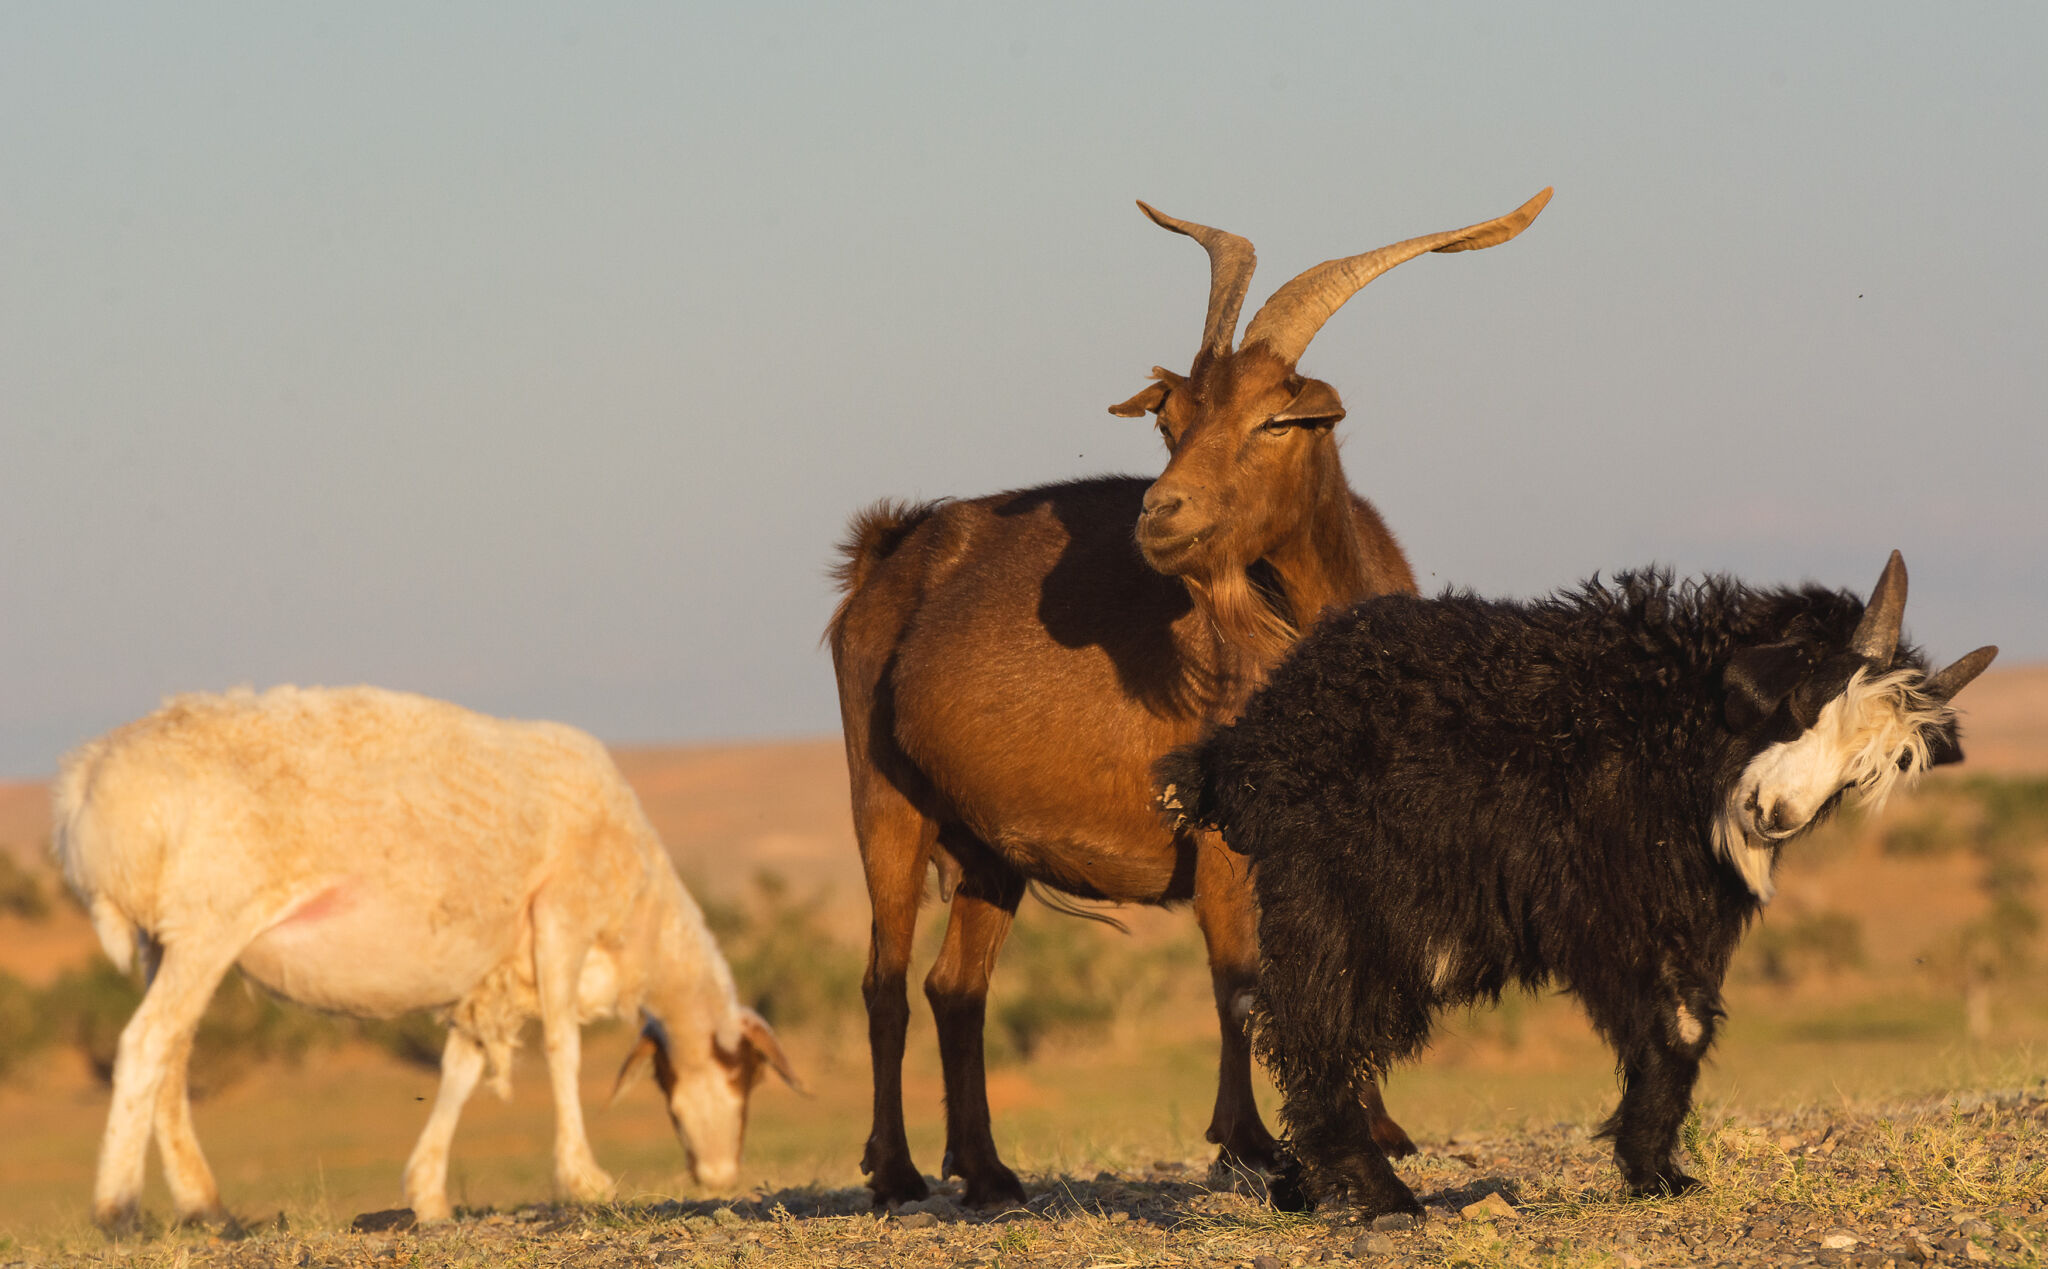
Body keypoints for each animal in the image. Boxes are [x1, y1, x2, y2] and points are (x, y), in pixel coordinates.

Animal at [52, 685, 800, 1229]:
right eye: (745, 1076)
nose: (719, 1175)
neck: (642, 920)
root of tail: (88, 784)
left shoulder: (492, 973)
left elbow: (459, 1071)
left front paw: (429, 1194)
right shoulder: (563, 913)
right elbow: (563, 1045)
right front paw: (585, 1178)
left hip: (167, 937)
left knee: (173, 1057)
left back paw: (205, 1206)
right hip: (211, 920)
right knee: (147, 1043)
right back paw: (117, 1210)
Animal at [827, 188, 1551, 1206]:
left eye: (1275, 421)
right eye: (1169, 421)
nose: (1161, 516)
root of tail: (887, 555)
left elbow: (1336, 972)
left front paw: (1375, 1130)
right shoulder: (1221, 834)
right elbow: (1240, 979)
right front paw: (1256, 1145)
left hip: (986, 847)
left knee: (954, 987)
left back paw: (989, 1171)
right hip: (885, 800)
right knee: (884, 981)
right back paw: (895, 1172)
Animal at [1156, 552, 1996, 1215]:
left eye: (1861, 774)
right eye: (1805, 699)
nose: (1775, 814)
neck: (1669, 719)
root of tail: (1254, 738)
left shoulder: (1673, 907)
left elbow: (1683, 1021)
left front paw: (1656, 1171)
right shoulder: (1604, 896)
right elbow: (1675, 1020)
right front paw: (1649, 1163)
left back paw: (1308, 1182)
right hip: (1337, 895)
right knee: (1314, 1025)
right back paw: (1382, 1194)